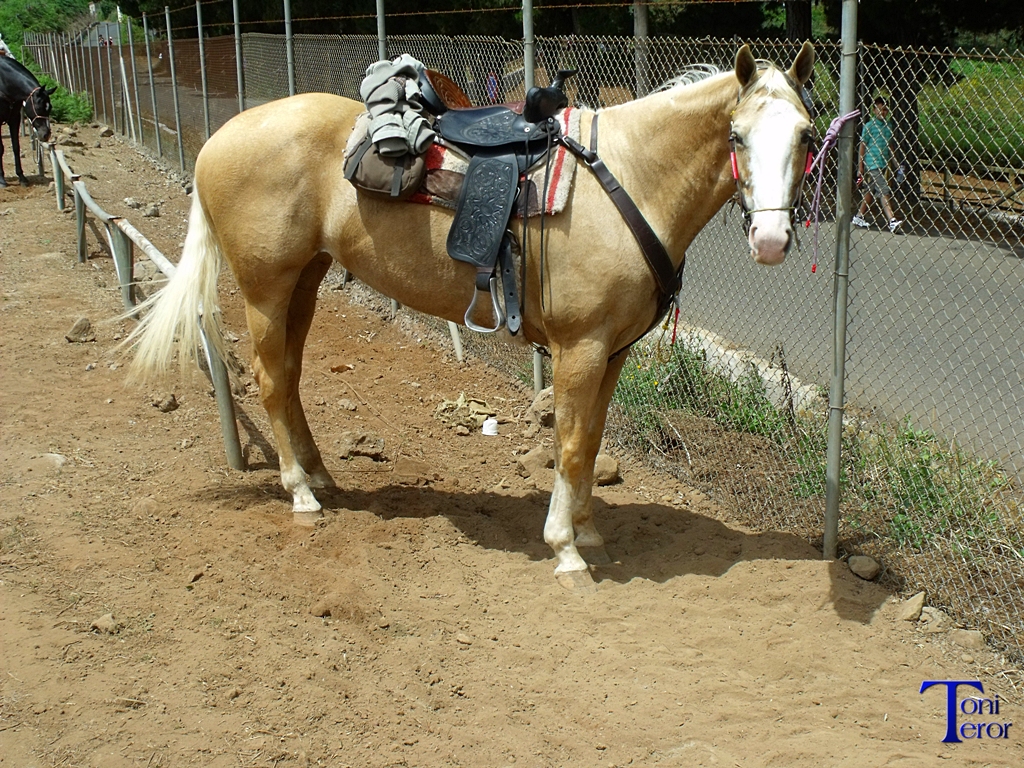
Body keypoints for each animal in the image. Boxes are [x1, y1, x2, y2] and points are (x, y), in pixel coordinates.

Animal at [0, 55, 54, 186]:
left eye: (50, 107)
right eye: (39, 107)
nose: (46, 134)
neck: (3, 83)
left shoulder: (14, 119)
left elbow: (16, 147)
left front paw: (21, 177)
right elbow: (0, 148)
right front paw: (1, 179)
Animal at [128, 43, 815, 586]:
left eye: (807, 135)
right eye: (737, 136)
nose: (771, 242)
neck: (629, 177)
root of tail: (219, 140)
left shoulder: (613, 350)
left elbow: (591, 441)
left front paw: (588, 530)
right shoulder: (580, 347)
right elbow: (569, 445)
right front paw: (566, 550)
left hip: (305, 280)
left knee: (291, 377)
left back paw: (320, 476)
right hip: (265, 287)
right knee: (271, 380)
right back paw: (299, 492)